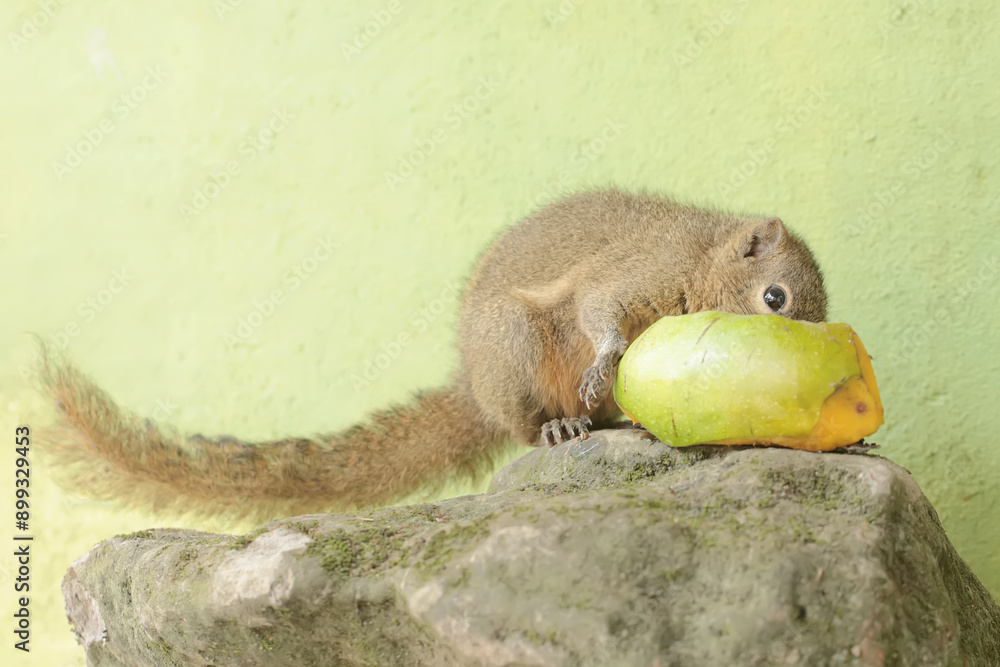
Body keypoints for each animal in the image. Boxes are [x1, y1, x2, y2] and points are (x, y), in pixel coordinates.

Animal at [39, 189, 827, 520]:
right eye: (776, 298)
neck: (704, 254)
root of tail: (474, 386)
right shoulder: (644, 272)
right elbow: (601, 314)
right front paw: (606, 357)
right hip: (512, 345)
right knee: (524, 424)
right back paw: (561, 426)